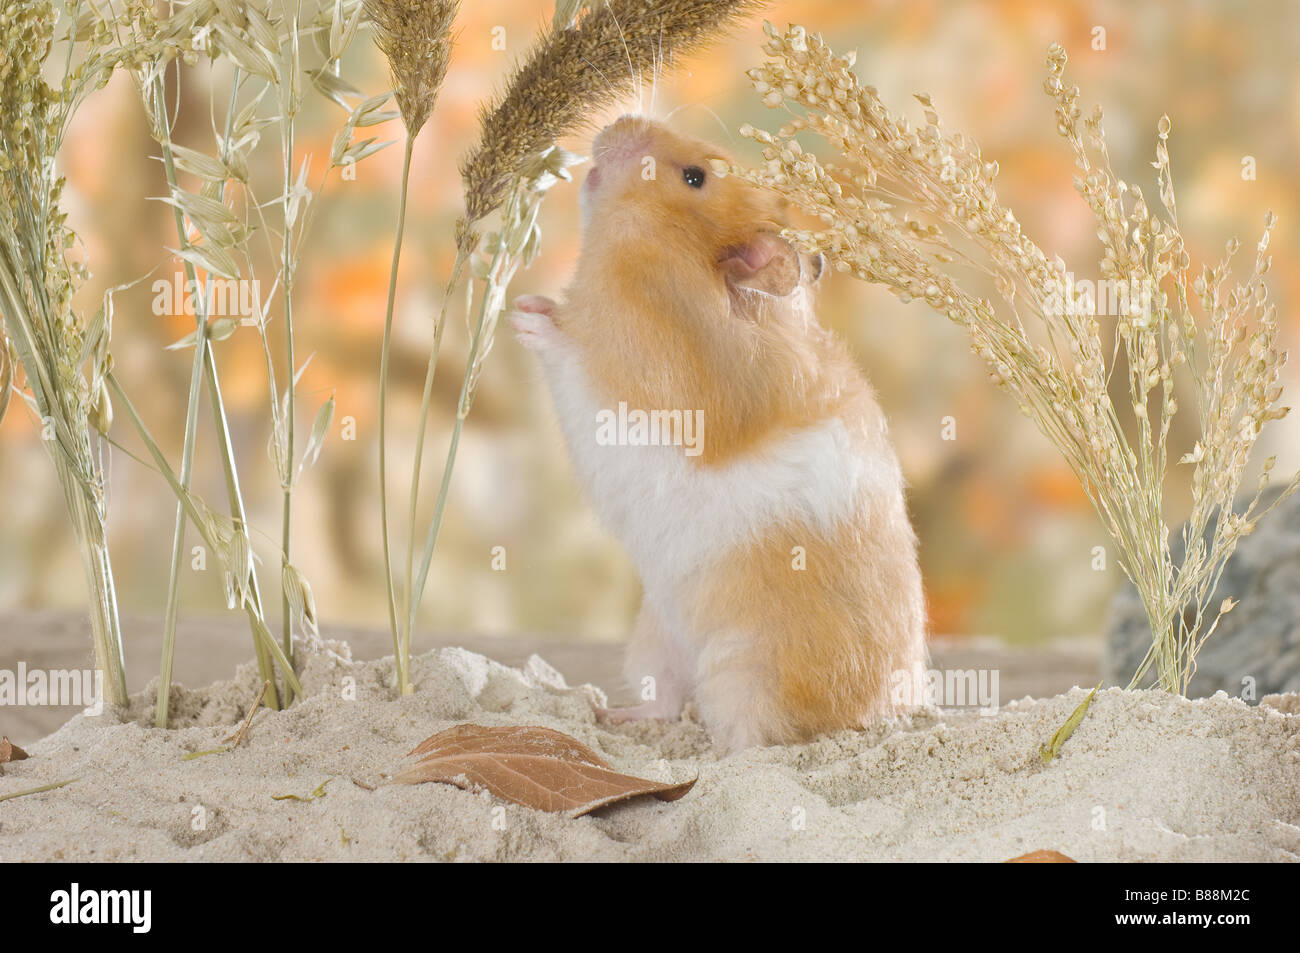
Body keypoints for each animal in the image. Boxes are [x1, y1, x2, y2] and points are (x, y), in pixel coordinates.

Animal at [510, 115, 926, 753]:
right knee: (664, 700)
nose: (615, 125)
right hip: (655, 638)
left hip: (743, 672)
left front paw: (526, 316)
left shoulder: (646, 388)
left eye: (693, 177)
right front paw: (525, 302)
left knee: (752, 740)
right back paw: (609, 716)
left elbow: (576, 355)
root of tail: (877, 716)